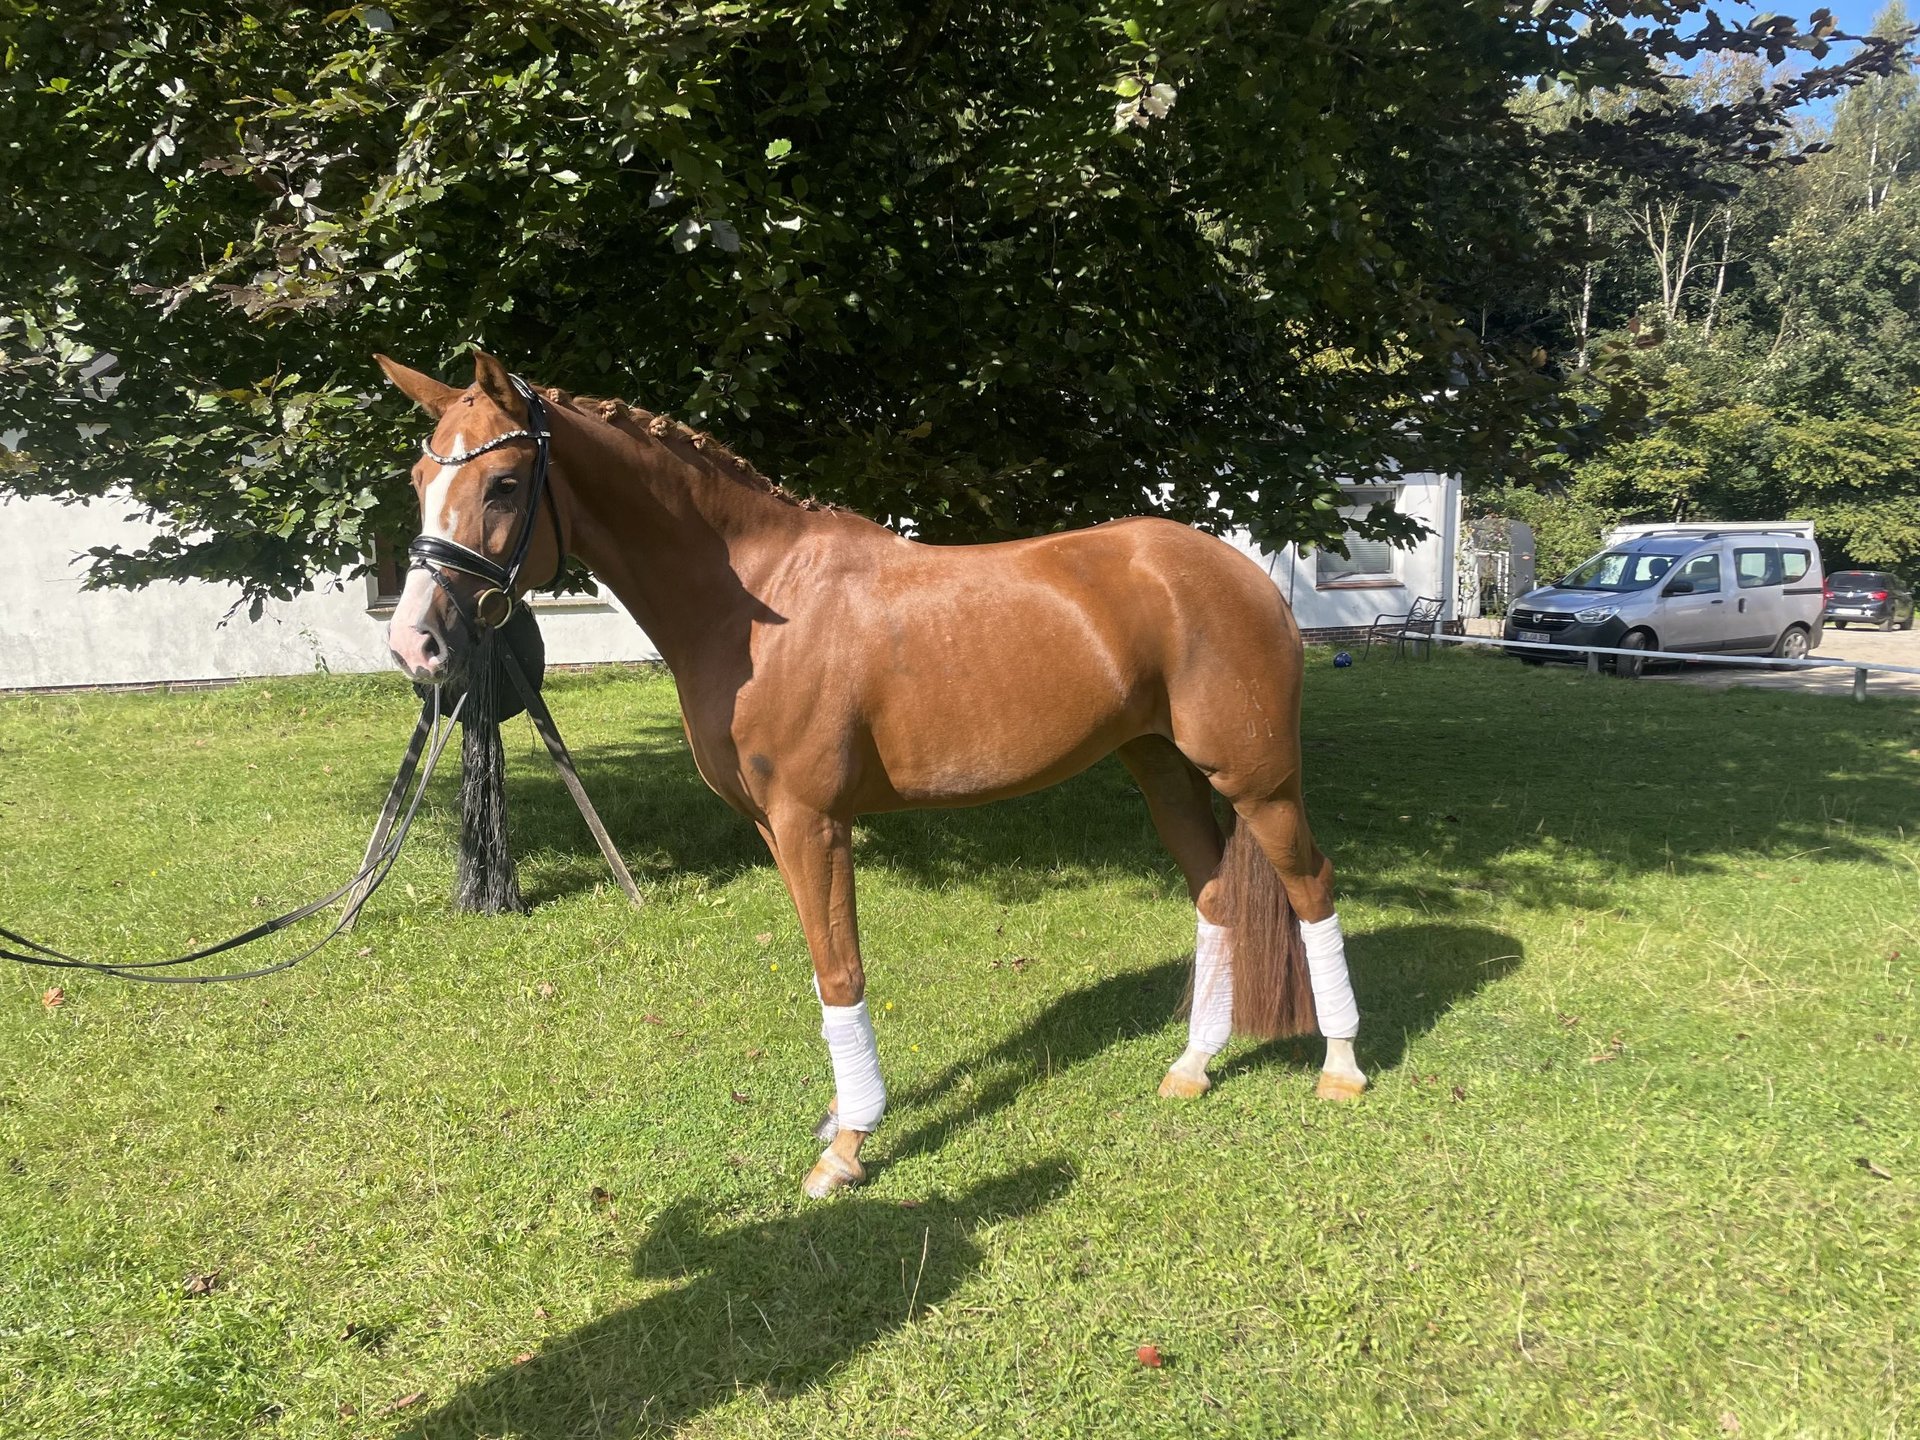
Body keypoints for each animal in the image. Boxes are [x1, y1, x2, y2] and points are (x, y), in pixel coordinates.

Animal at [378, 350, 1368, 1199]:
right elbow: (824, 970)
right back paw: (1193, 1067)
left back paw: (1342, 1068)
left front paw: (848, 1147)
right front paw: (840, 1123)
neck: (757, 603)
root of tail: (1240, 570)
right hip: (1161, 766)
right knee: (1217, 895)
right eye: (422, 484)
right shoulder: (772, 827)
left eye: (504, 484)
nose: (415, 643)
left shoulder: (812, 820)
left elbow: (841, 972)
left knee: (1311, 886)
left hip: (1256, 778)